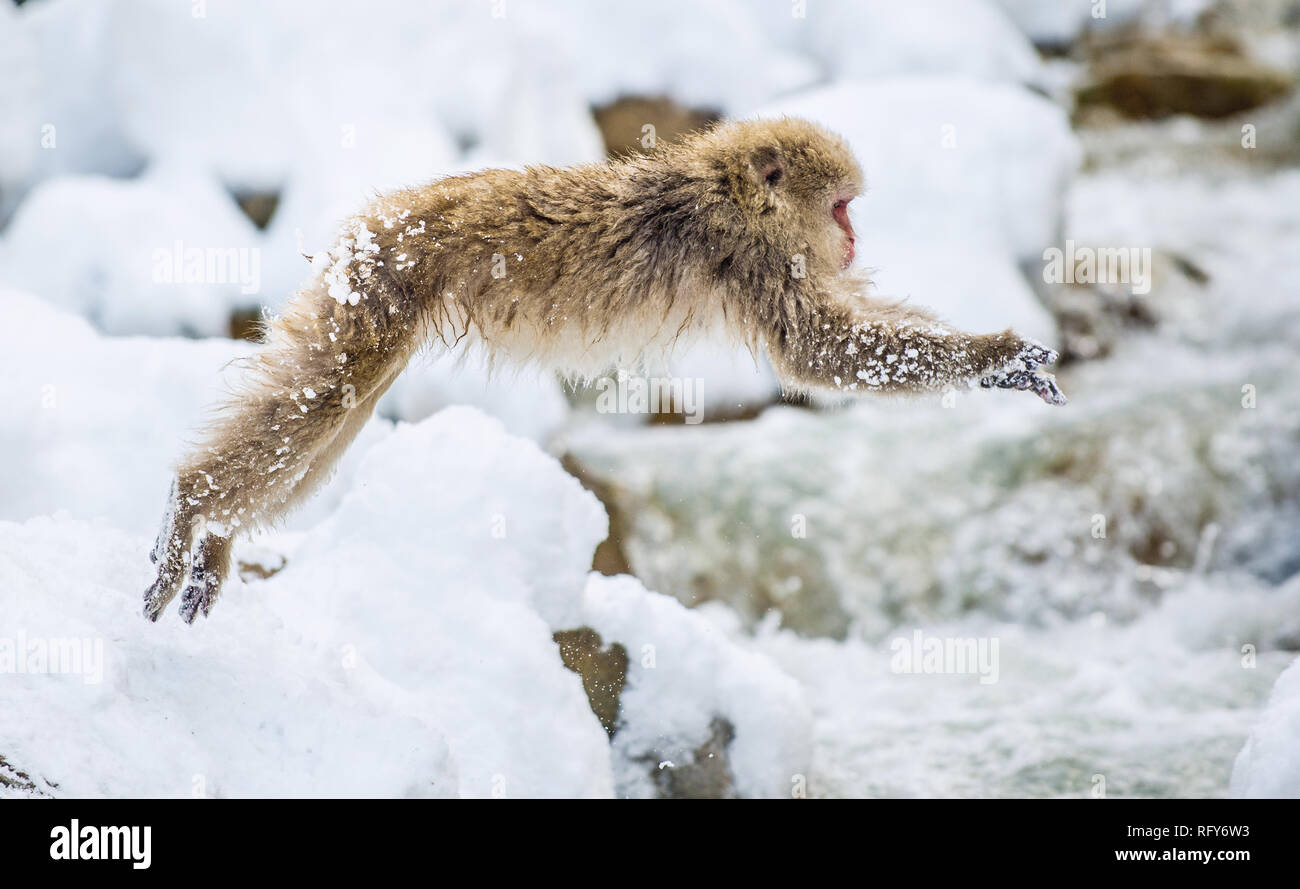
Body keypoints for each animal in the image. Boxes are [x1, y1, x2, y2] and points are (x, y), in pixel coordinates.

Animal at [142, 117, 1065, 624]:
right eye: (841, 206)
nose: (852, 238)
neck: (730, 190)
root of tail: (378, 219)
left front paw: (998, 360)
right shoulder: (756, 260)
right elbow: (824, 350)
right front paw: (999, 359)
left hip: (374, 306)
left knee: (331, 416)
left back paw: (217, 537)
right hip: (377, 292)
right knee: (319, 400)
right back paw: (191, 504)